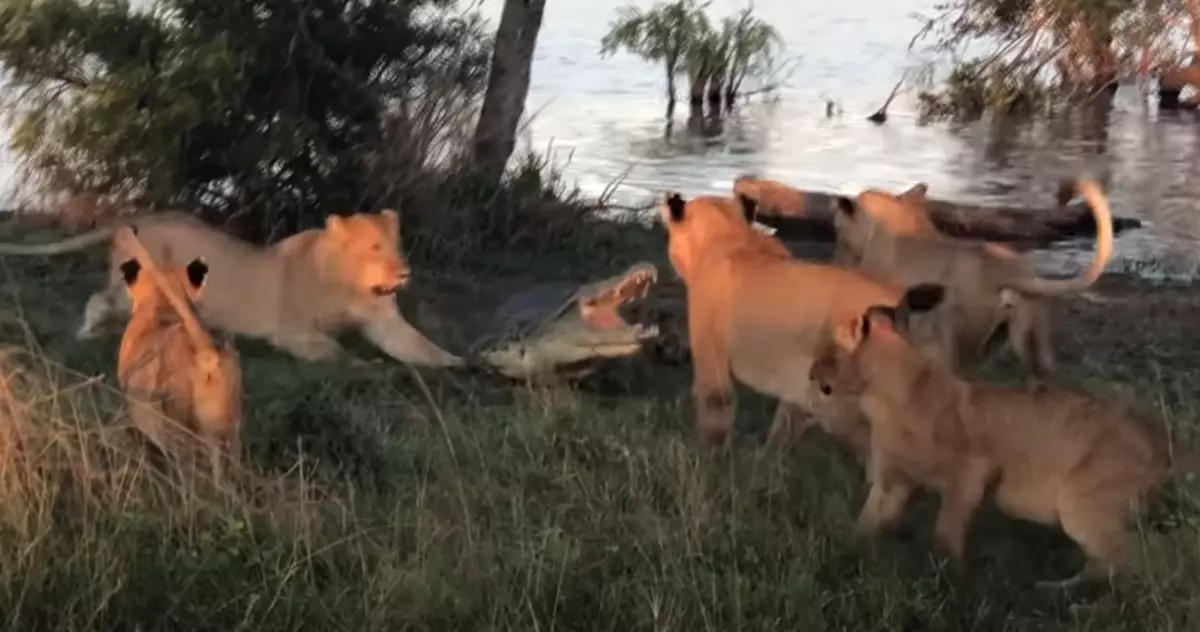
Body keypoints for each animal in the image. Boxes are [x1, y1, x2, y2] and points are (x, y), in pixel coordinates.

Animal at [0, 208, 463, 366]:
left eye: (397, 244)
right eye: (374, 246)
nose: (404, 272)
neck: (354, 286)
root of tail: (135, 216)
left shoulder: (384, 320)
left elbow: (419, 347)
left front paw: (459, 364)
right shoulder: (292, 332)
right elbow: (338, 353)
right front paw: (366, 367)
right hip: (140, 285)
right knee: (101, 301)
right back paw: (87, 334)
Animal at [806, 301, 1200, 587]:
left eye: (827, 355)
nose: (810, 374)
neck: (880, 401)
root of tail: (1159, 434)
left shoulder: (971, 470)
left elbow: (946, 529)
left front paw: (951, 579)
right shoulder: (893, 481)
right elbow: (864, 522)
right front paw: (841, 551)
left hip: (1080, 501)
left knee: (1133, 557)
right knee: (1110, 560)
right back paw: (1058, 590)